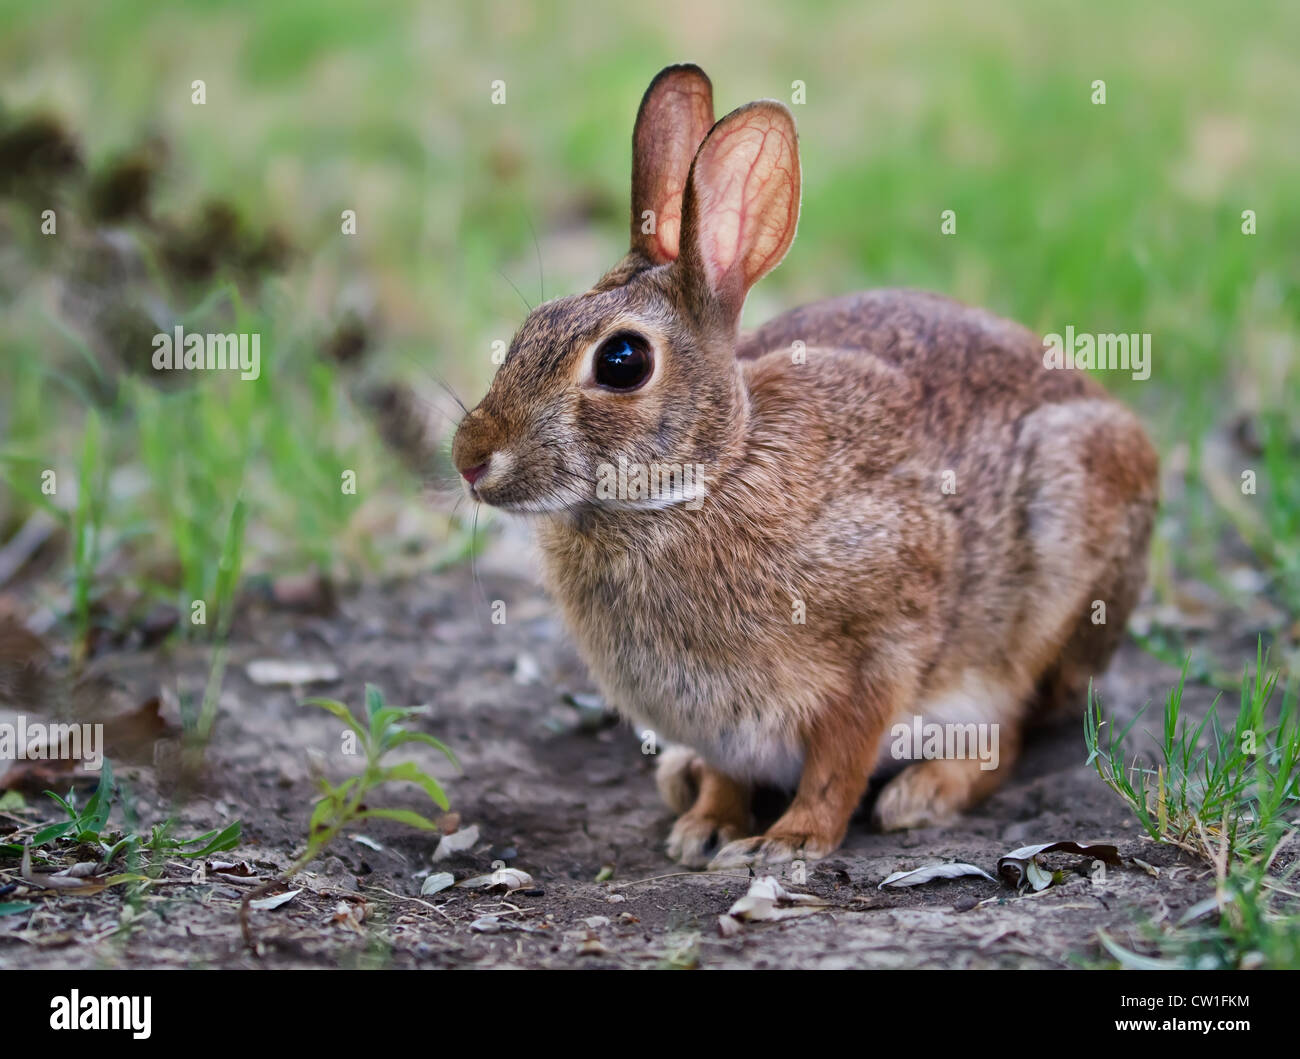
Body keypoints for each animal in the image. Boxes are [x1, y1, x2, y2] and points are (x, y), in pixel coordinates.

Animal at [451, 63, 1158, 869]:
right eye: (526, 331)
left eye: (622, 361)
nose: (469, 459)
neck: (710, 473)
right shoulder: (724, 724)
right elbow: (728, 771)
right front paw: (709, 829)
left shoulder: (876, 656)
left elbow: (839, 761)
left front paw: (785, 844)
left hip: (1042, 603)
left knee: (1007, 732)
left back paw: (923, 795)